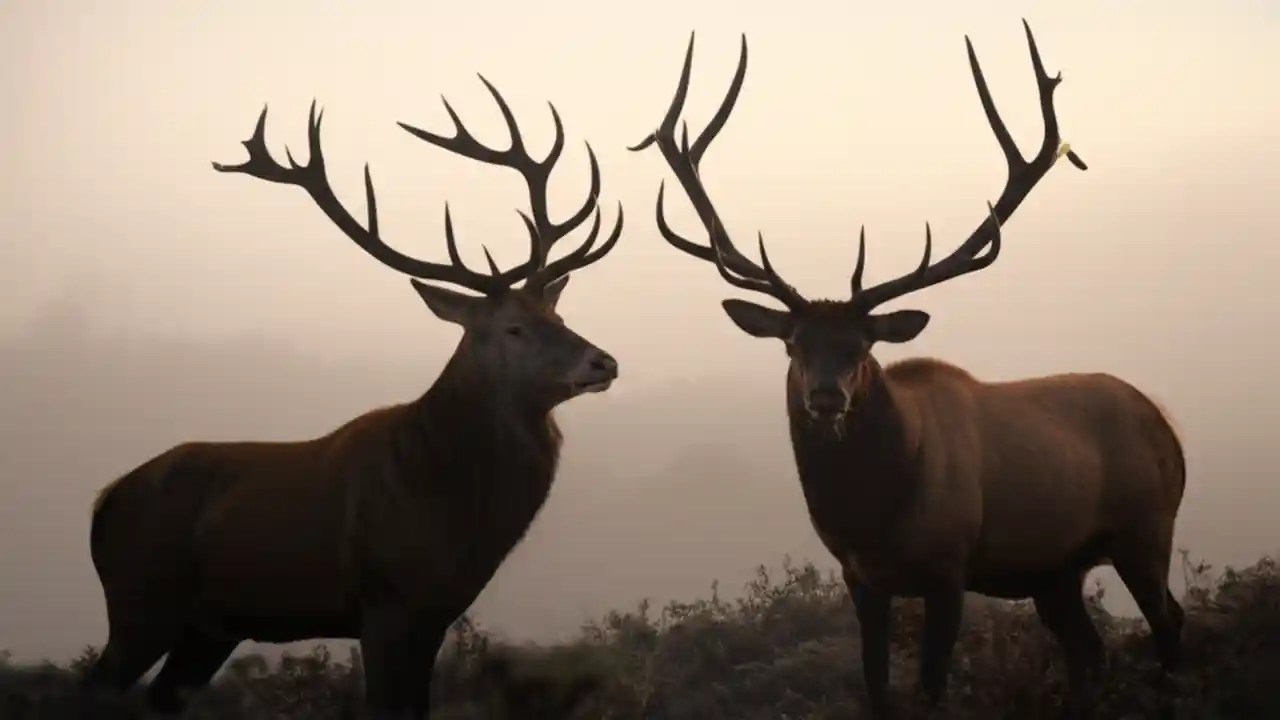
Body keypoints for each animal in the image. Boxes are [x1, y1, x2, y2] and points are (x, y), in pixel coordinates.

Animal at [83, 77, 623, 719]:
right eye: (513, 328)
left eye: (558, 315)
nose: (603, 361)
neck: (445, 501)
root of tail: (102, 505)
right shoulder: (386, 603)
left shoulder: (435, 614)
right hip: (140, 601)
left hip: (208, 628)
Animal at [631, 23, 1185, 717]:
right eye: (793, 344)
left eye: (862, 347)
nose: (825, 397)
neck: (874, 517)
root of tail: (1167, 427)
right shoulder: (860, 578)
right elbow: (875, 685)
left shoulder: (949, 567)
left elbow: (932, 686)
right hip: (1055, 569)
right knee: (1092, 651)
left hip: (1147, 527)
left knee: (1169, 625)